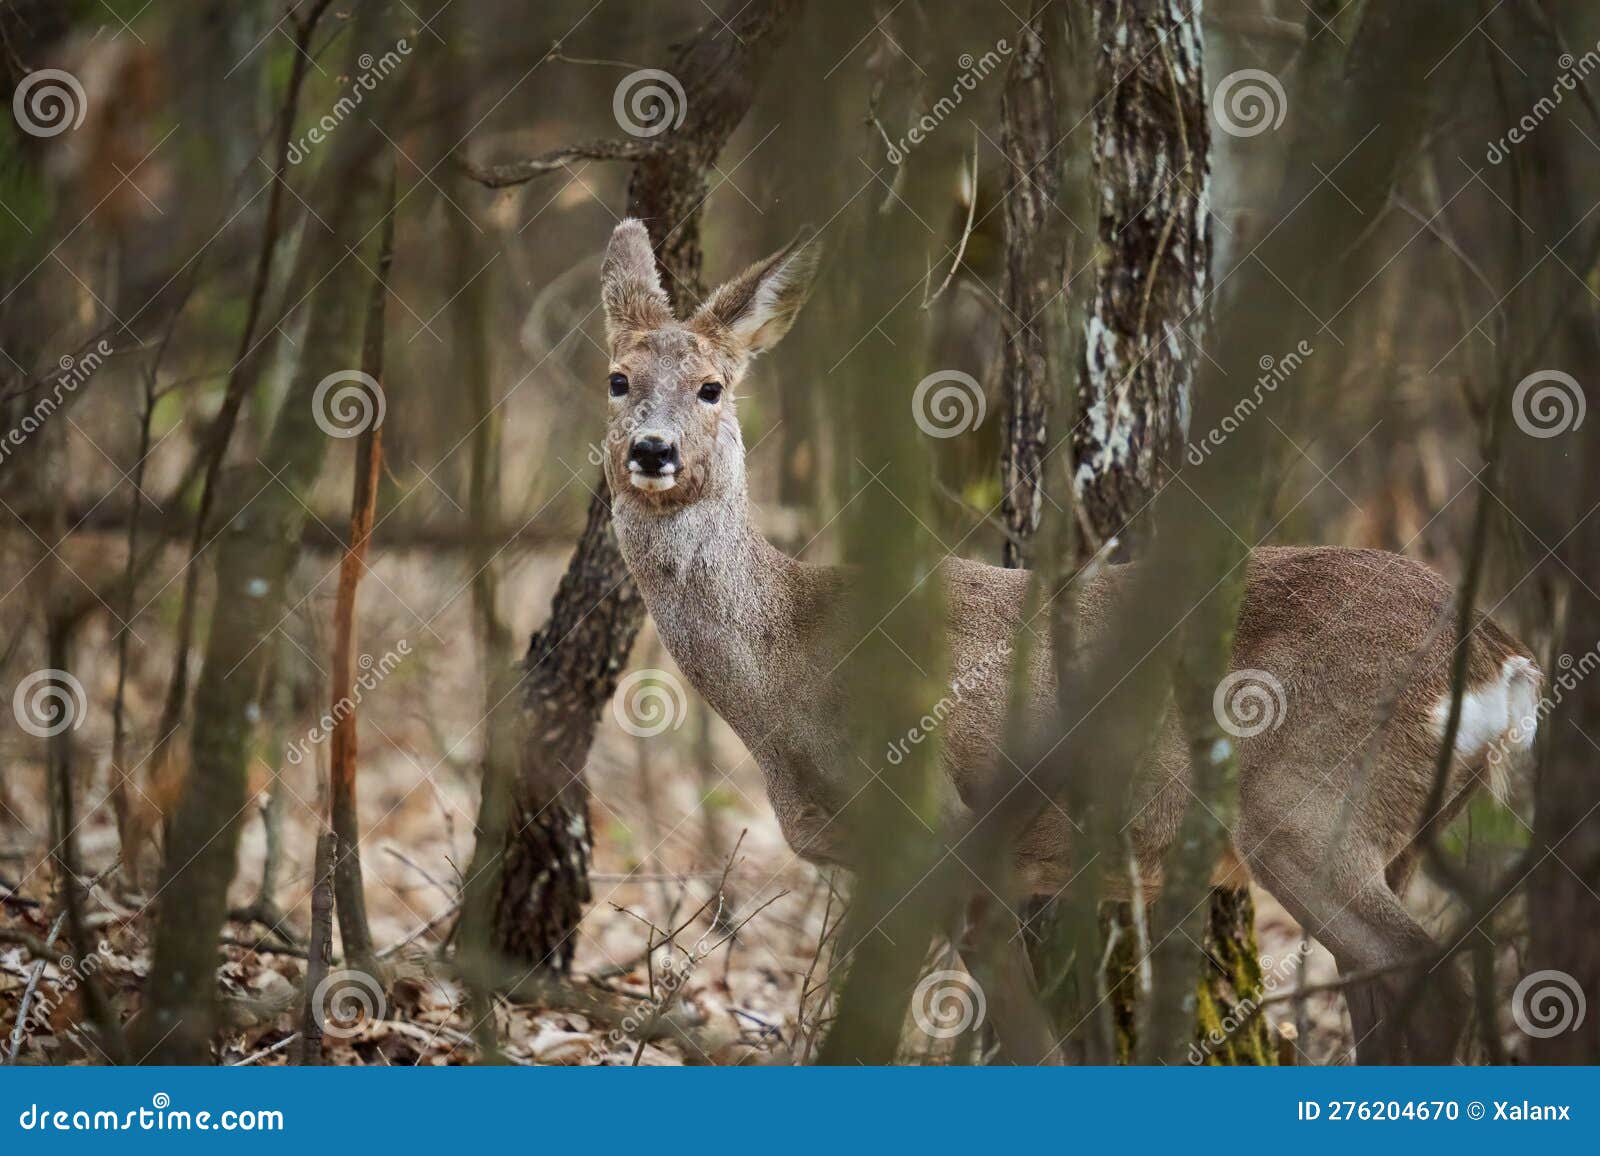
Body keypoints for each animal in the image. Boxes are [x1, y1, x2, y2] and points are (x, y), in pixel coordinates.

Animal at [594, 218, 1543, 1064]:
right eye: (617, 378)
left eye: (713, 387)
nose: (653, 450)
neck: (787, 668)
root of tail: (1506, 660)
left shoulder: (941, 825)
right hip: (1396, 833)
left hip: (1310, 806)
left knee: (1427, 969)